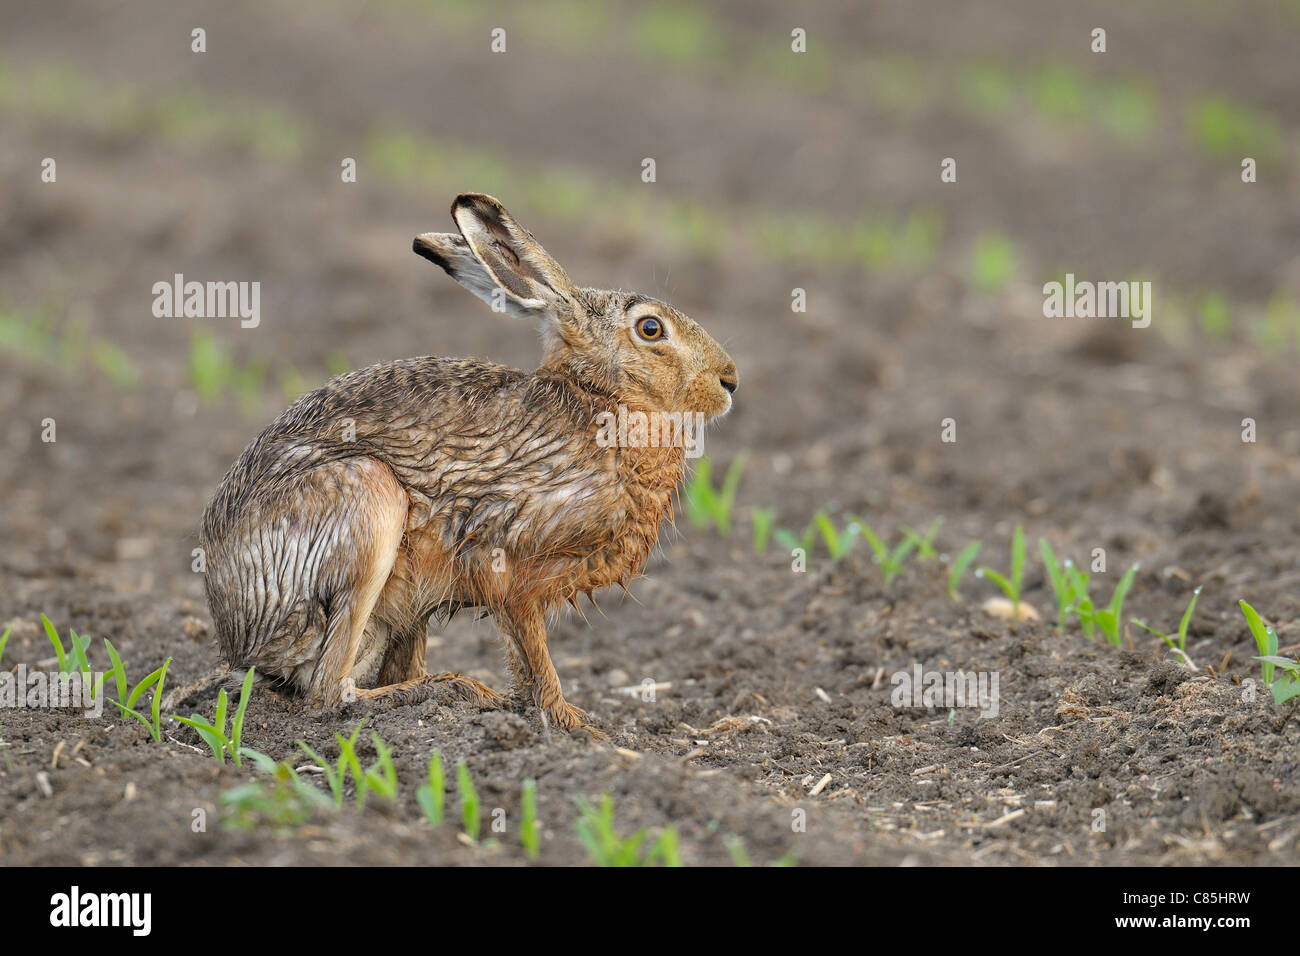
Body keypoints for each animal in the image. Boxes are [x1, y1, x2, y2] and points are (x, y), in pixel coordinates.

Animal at [198, 193, 738, 736]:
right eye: (651, 329)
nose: (729, 380)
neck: (601, 398)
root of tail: (240, 641)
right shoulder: (511, 561)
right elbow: (534, 650)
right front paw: (572, 725)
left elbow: (521, 657)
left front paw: (545, 714)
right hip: (366, 503)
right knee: (328, 693)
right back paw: (455, 690)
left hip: (402, 610)